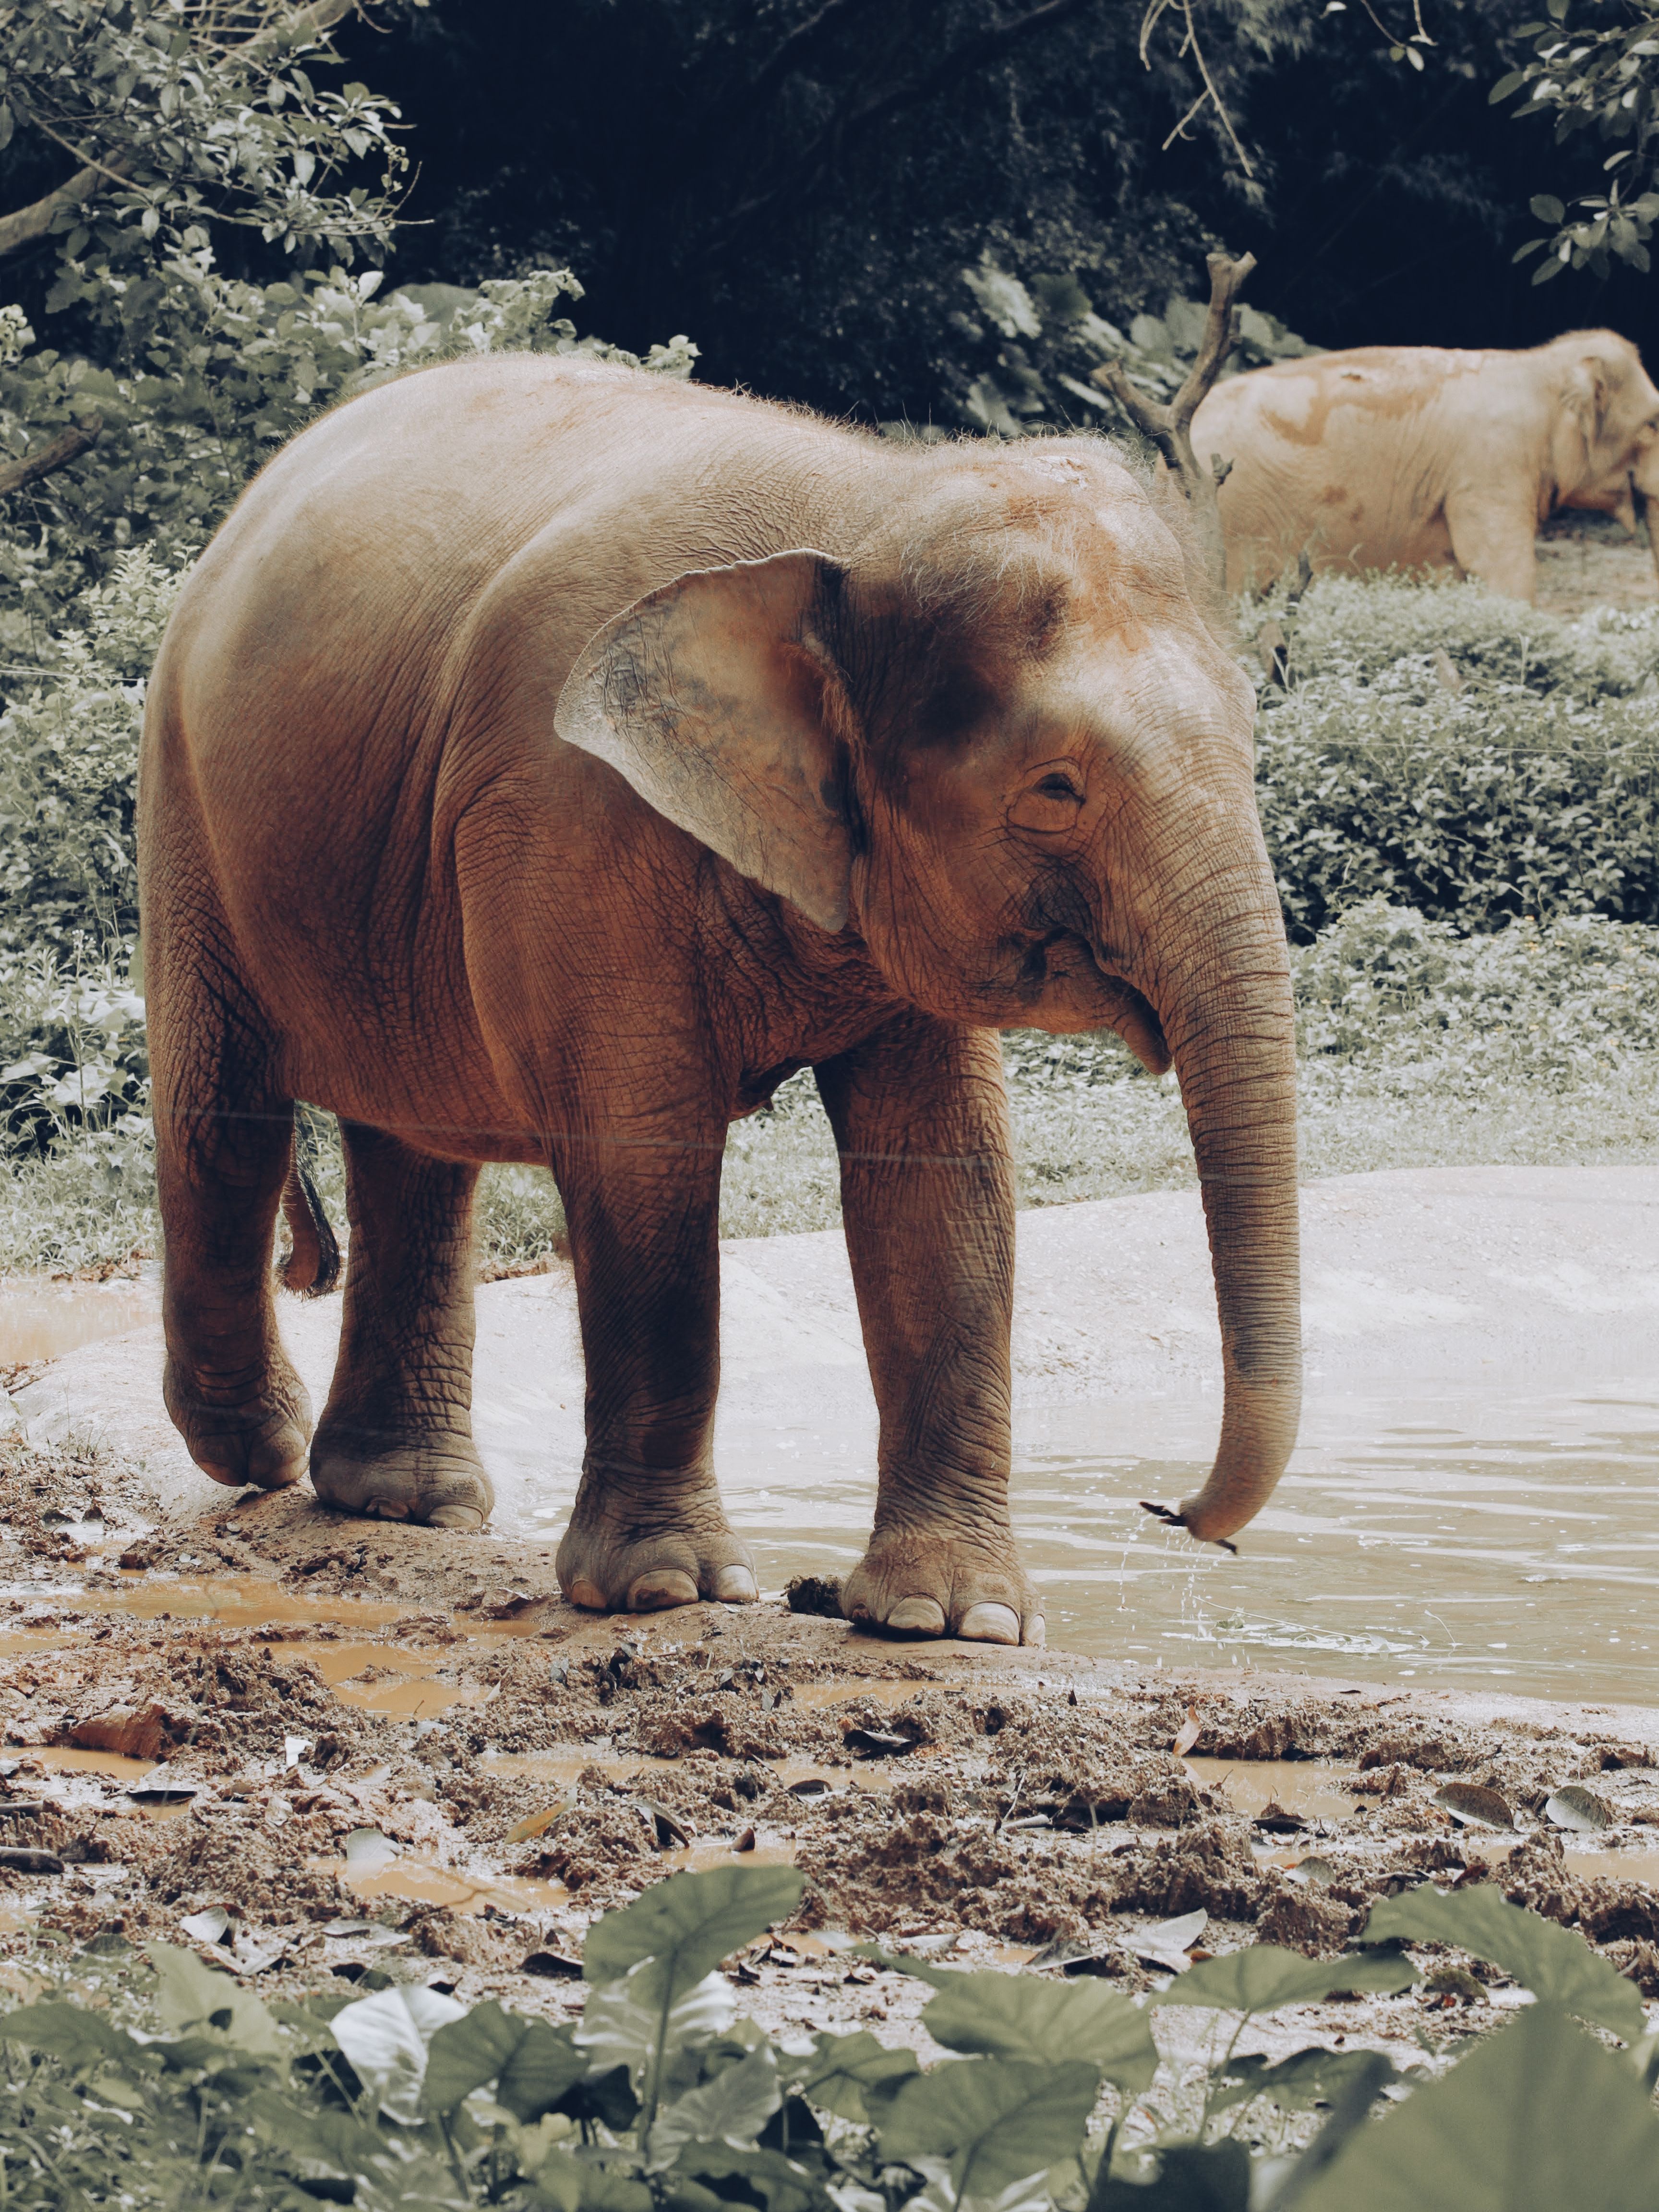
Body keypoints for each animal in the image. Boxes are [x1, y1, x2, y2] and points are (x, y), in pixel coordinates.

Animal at [136, 355, 1301, 1645]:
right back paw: (261, 1452)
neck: (867, 505)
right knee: (227, 1113)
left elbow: (942, 1175)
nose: (1174, 1513)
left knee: (416, 1143)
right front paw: (664, 1591)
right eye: (1055, 788)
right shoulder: (566, 807)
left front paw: (949, 1620)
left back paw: (401, 1500)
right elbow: (645, 1157)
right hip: (187, 798)